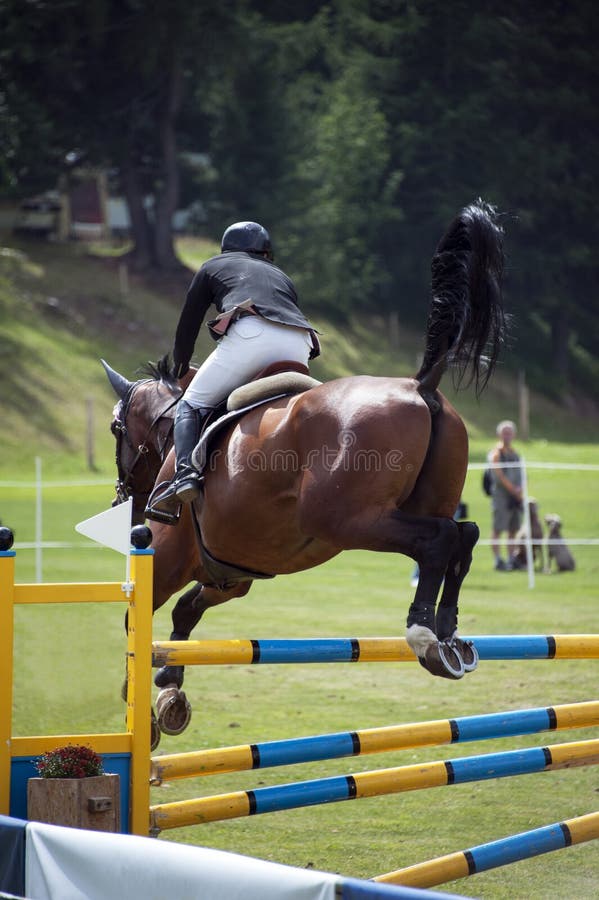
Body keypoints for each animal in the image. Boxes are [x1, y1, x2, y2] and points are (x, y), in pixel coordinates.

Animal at [104, 201, 506, 745]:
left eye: (115, 428)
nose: (123, 500)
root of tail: (420, 386)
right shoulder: (231, 573)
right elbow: (186, 611)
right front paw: (169, 688)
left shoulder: (166, 558)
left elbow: (137, 620)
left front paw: (141, 706)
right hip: (412, 505)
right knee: (464, 534)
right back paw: (448, 634)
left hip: (349, 521)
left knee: (439, 540)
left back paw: (423, 633)